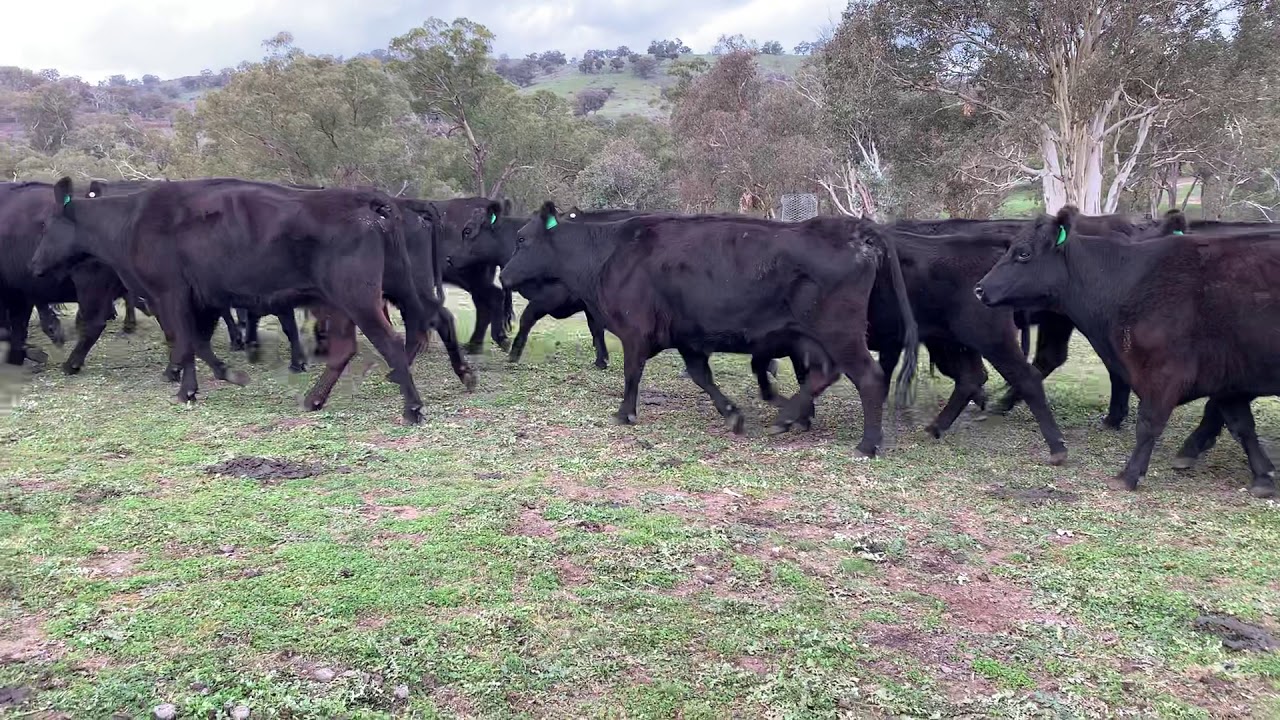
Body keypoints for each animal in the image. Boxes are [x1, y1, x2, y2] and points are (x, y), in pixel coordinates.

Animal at [29, 177, 448, 424]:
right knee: (354, 346)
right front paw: (223, 373)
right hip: (353, 299)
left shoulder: (170, 292)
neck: (131, 220)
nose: (34, 265)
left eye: (46, 225)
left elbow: (184, 342)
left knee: (392, 341)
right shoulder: (202, 299)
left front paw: (188, 389)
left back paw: (412, 408)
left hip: (358, 296)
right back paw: (313, 400)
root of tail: (363, 198)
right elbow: (196, 341)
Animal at [501, 202, 918, 457]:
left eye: (521, 239)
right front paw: (732, 413)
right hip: (815, 337)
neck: (610, 252)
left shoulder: (635, 331)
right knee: (823, 374)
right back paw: (787, 418)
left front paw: (624, 413)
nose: (503, 275)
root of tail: (852, 228)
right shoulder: (688, 337)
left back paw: (866, 444)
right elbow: (702, 377)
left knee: (869, 378)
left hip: (840, 333)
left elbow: (632, 373)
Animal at [974, 206, 1280, 498]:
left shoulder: (1164, 373)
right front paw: (1263, 476)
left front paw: (1129, 475)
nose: (979, 288)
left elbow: (1148, 423)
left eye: (1023, 253)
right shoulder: (1227, 380)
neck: (1125, 283)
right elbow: (1242, 426)